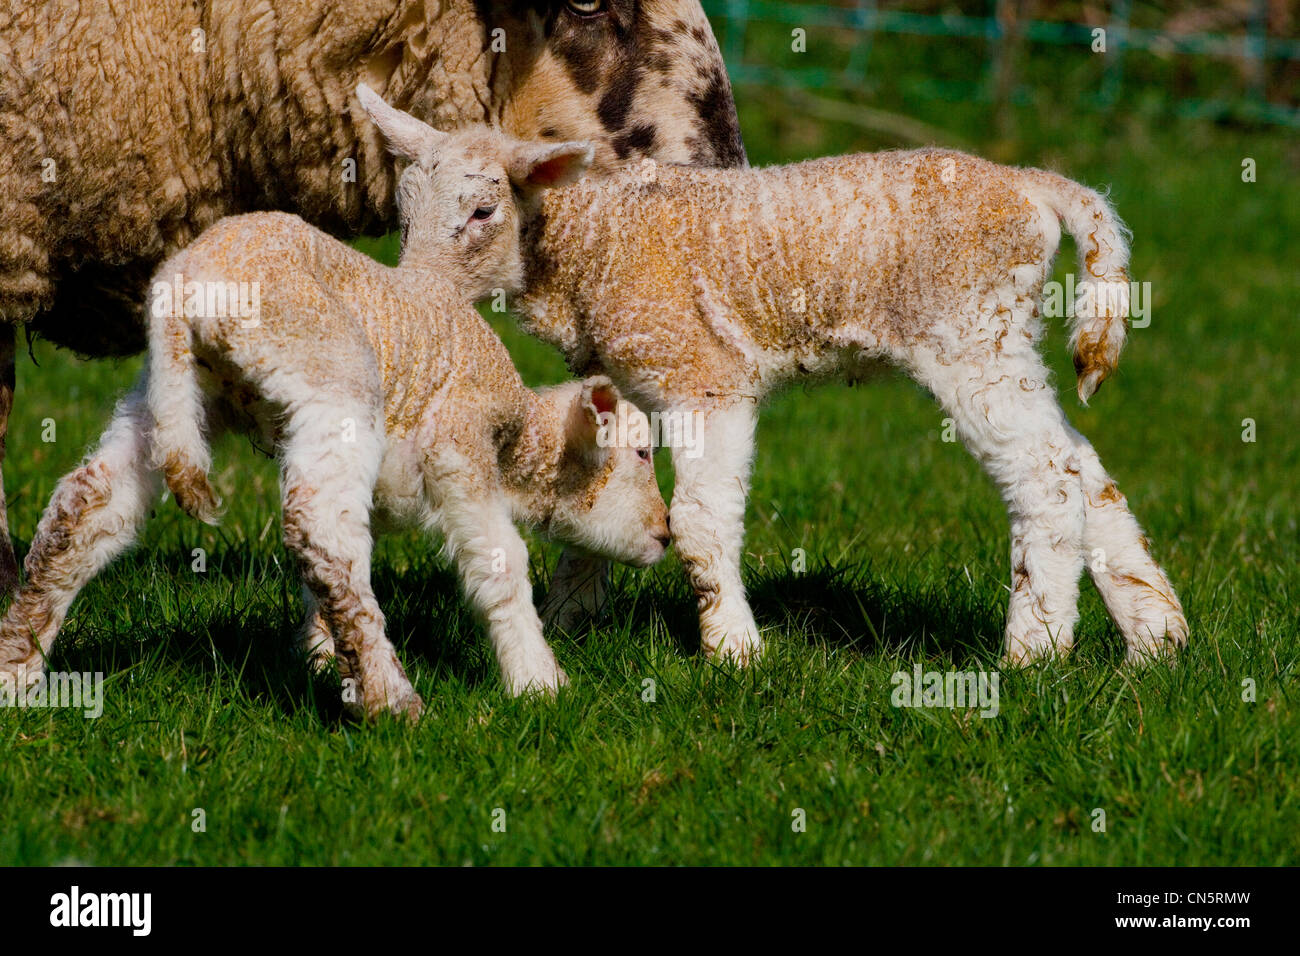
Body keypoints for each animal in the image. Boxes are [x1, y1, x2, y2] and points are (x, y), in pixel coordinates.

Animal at [0, 87, 670, 721]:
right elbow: (499, 563)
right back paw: (389, 700)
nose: (665, 534)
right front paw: (539, 683)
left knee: (88, 504)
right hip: (331, 375)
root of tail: (184, 280)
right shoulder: (459, 446)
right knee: (319, 528)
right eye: (641, 452)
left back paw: (17, 672)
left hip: (175, 398)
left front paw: (321, 655)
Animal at [376, 110, 1190, 667]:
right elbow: (593, 484)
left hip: (970, 336)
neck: (590, 241)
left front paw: (734, 652)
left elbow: (700, 520)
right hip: (1005, 342)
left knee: (1046, 478)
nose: (412, 300)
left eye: (484, 211)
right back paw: (1156, 639)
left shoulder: (703, 380)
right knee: (1083, 464)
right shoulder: (628, 375)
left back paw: (1034, 651)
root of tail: (1031, 185)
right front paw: (572, 619)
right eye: (403, 218)